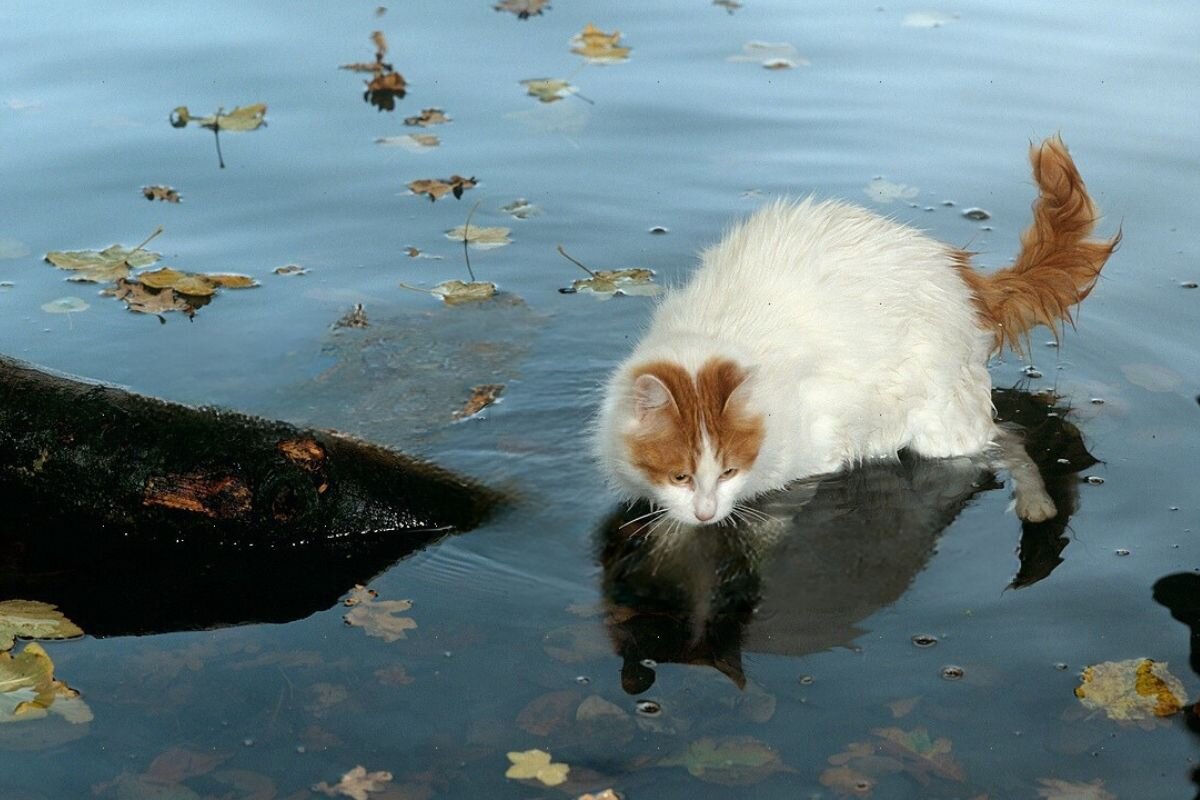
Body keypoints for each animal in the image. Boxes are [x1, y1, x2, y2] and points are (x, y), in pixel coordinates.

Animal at [595, 134, 1118, 527]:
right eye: (679, 475)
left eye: (727, 470)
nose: (704, 512)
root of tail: (963, 276)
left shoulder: (822, 451)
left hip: (945, 427)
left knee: (1009, 438)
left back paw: (1037, 505)